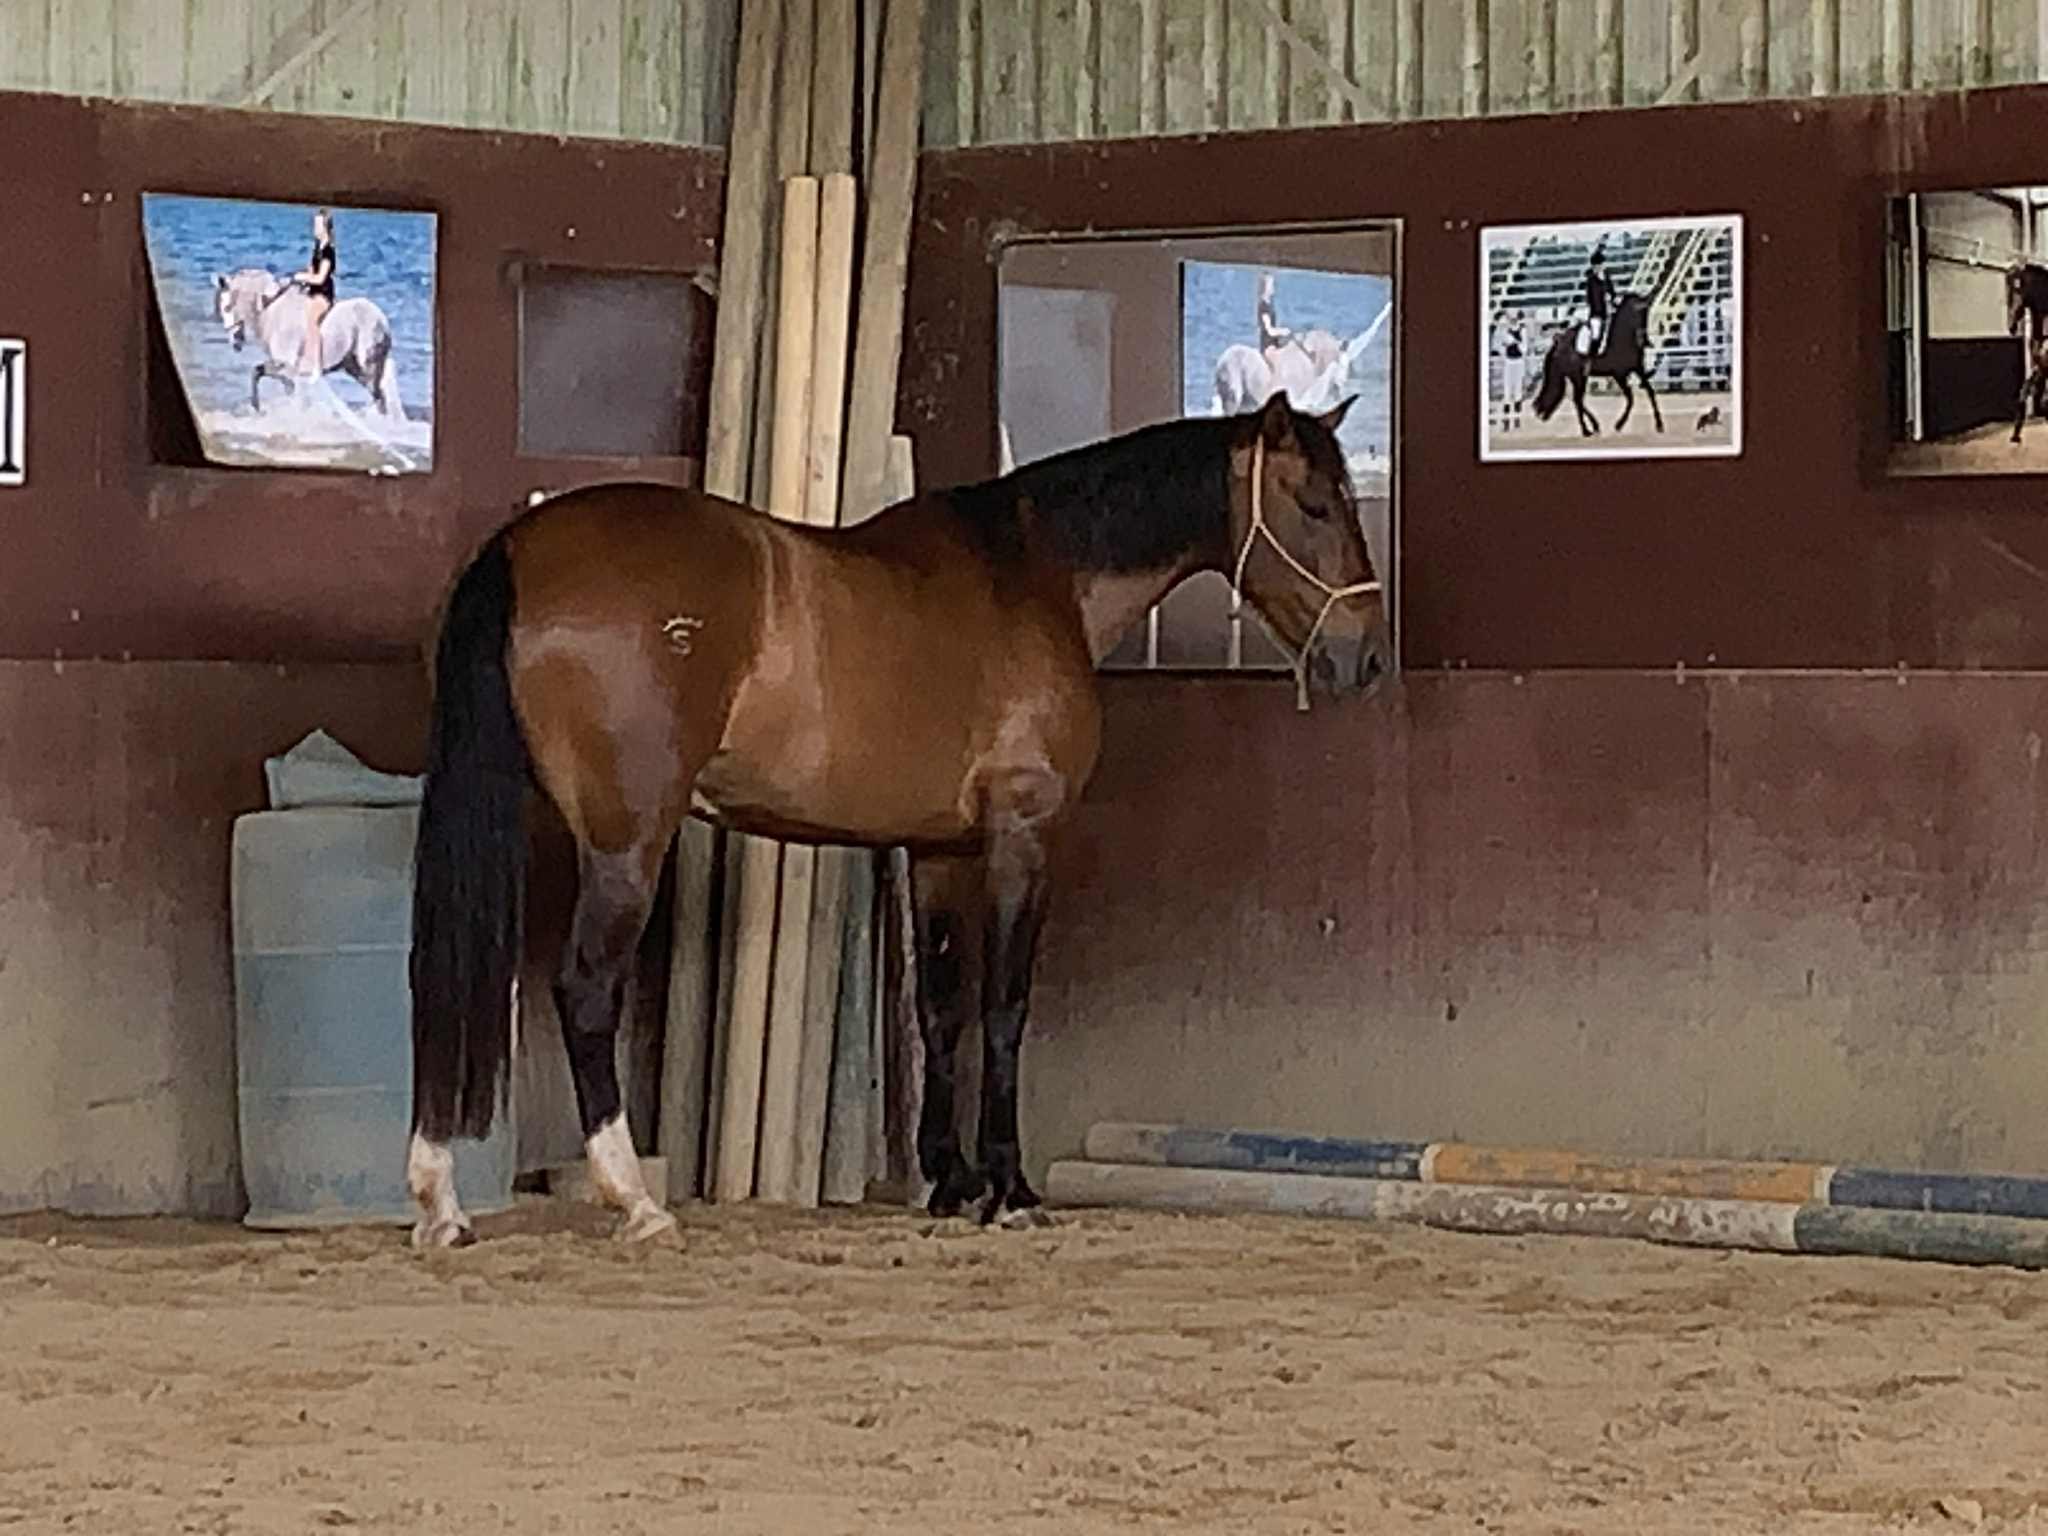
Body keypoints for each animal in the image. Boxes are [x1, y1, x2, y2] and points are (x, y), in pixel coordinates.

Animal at [212, 268, 404, 418]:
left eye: (227, 307)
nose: (235, 342)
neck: (272, 311)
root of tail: (381, 319)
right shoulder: (287, 372)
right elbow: (273, 381)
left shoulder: (286, 367)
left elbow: (257, 372)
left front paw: (259, 407)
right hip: (354, 368)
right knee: (379, 396)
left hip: (369, 365)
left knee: (379, 396)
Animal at [405, 394, 1388, 1249]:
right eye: (1312, 504)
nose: (1367, 658)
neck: (1039, 575)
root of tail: (520, 548)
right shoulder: (1024, 834)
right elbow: (1003, 1007)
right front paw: (1010, 1189)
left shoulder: (937, 850)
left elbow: (940, 1007)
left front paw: (950, 1182)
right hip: (626, 844)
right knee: (584, 990)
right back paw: (634, 1200)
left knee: (447, 977)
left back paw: (440, 1202)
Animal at [1532, 291, 1664, 438]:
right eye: (1639, 314)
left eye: (1645, 314)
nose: (1644, 340)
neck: (1623, 338)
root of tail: (1559, 342)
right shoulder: (1619, 374)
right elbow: (1630, 398)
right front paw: (1619, 425)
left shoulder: (1638, 369)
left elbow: (1650, 392)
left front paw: (1659, 425)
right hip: (1577, 376)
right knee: (1577, 400)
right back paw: (1587, 430)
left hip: (1577, 376)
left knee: (1577, 399)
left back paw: (1594, 427)